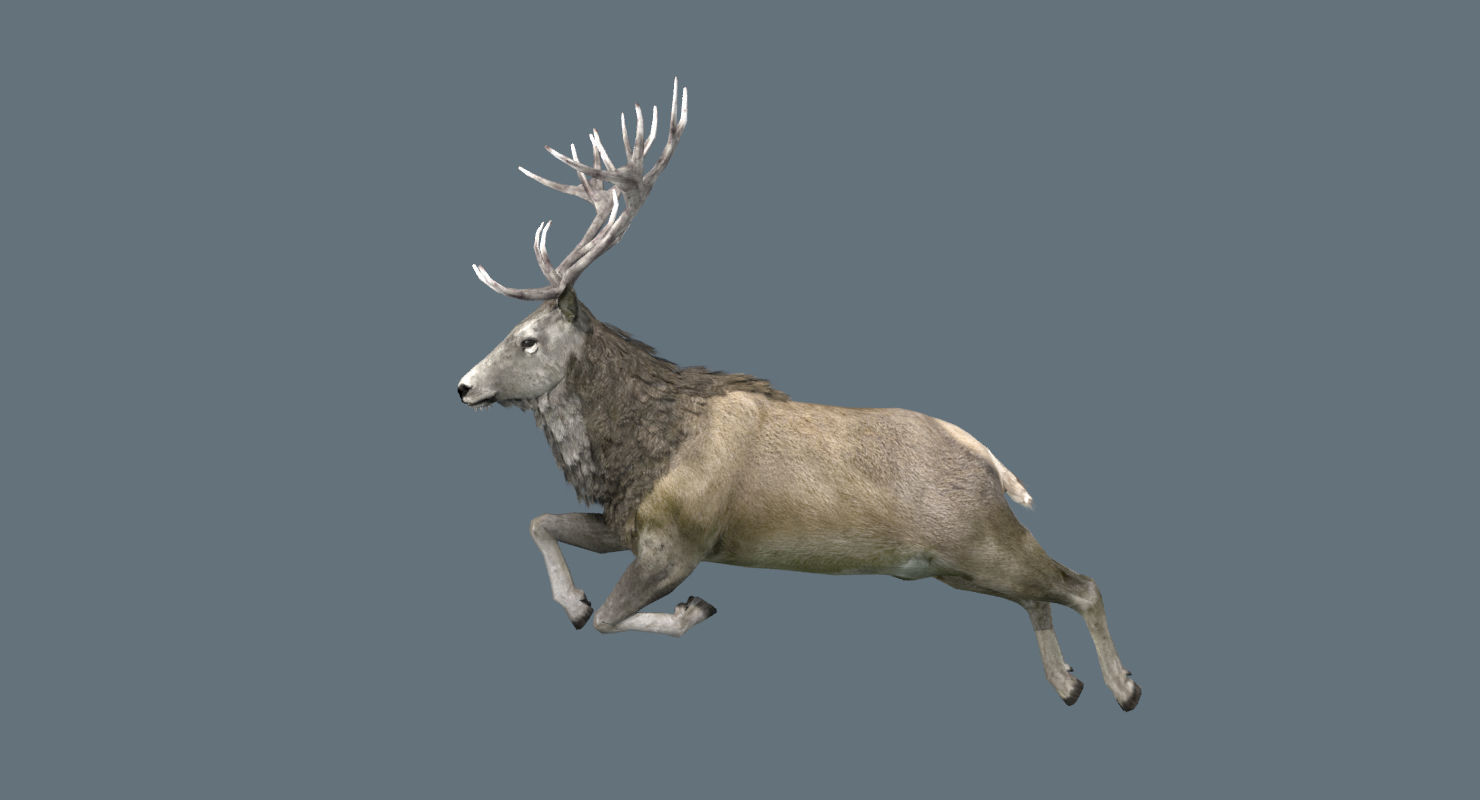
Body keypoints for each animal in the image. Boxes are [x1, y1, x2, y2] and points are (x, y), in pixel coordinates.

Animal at [457, 80, 1141, 710]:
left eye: (527, 339)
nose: (464, 386)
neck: (636, 456)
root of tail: (990, 463)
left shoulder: (680, 540)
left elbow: (610, 616)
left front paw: (690, 609)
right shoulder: (628, 524)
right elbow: (542, 524)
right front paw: (573, 601)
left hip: (978, 537)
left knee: (1081, 583)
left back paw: (1124, 687)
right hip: (955, 564)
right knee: (1038, 595)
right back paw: (1068, 683)